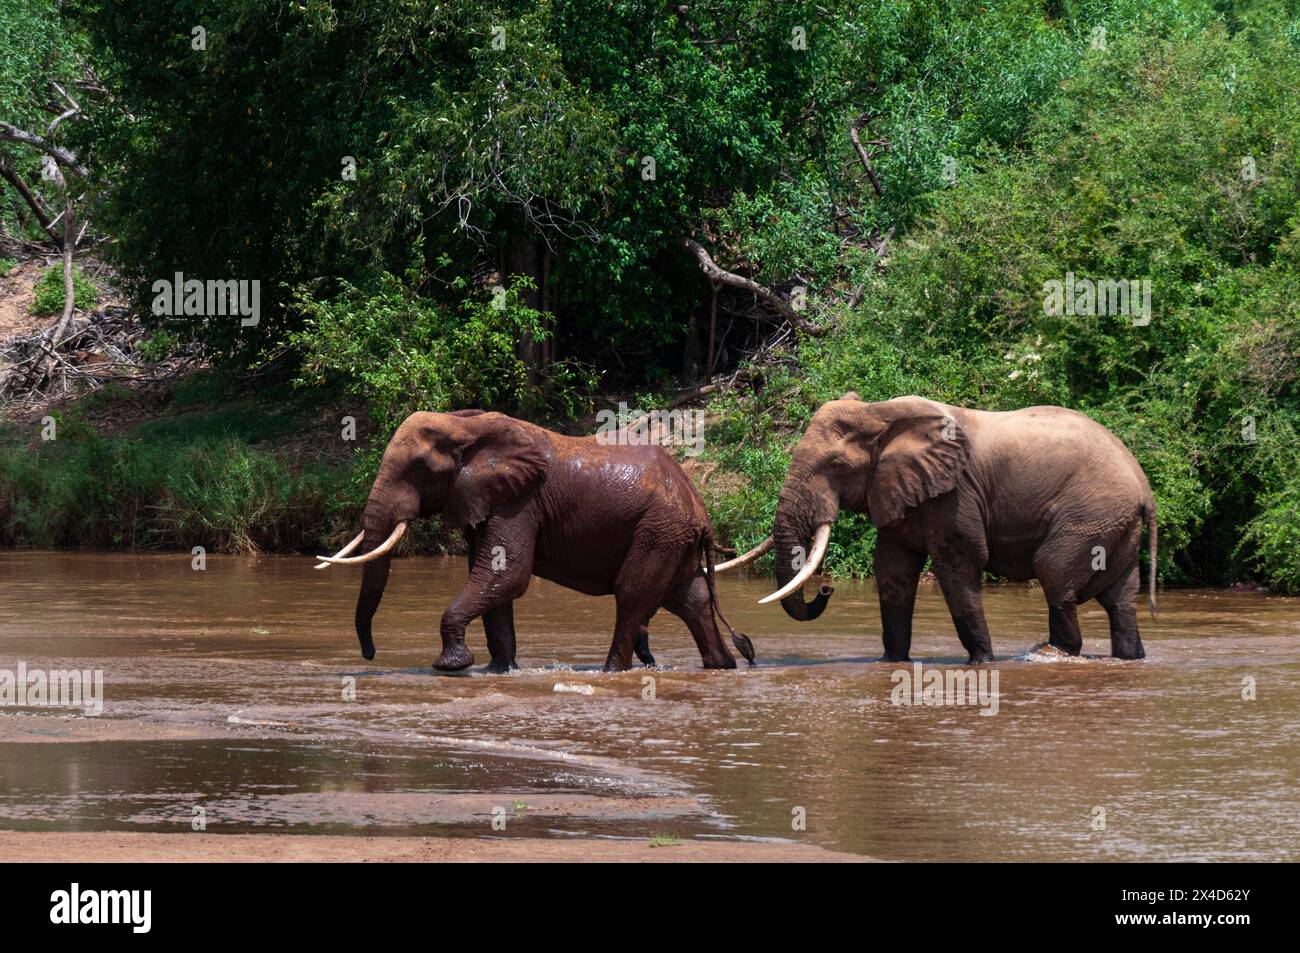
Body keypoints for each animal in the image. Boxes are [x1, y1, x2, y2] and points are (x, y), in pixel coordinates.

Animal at [314, 409, 754, 673]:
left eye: (419, 469)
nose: (370, 654)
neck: (464, 424)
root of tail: (700, 507)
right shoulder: (489, 499)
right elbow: (495, 580)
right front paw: (499, 671)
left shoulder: (518, 502)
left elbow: (508, 575)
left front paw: (451, 665)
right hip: (672, 536)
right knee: (690, 599)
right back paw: (723, 666)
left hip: (658, 531)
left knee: (632, 596)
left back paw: (612, 671)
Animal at [720, 394, 1157, 662]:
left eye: (835, 466)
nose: (827, 588)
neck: (880, 412)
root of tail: (1144, 488)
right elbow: (892, 571)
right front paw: (891, 661)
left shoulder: (955, 493)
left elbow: (958, 564)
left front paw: (982, 663)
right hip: (1114, 522)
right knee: (1120, 599)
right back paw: (1130, 655)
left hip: (1089, 515)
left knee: (1055, 576)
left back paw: (1055, 653)